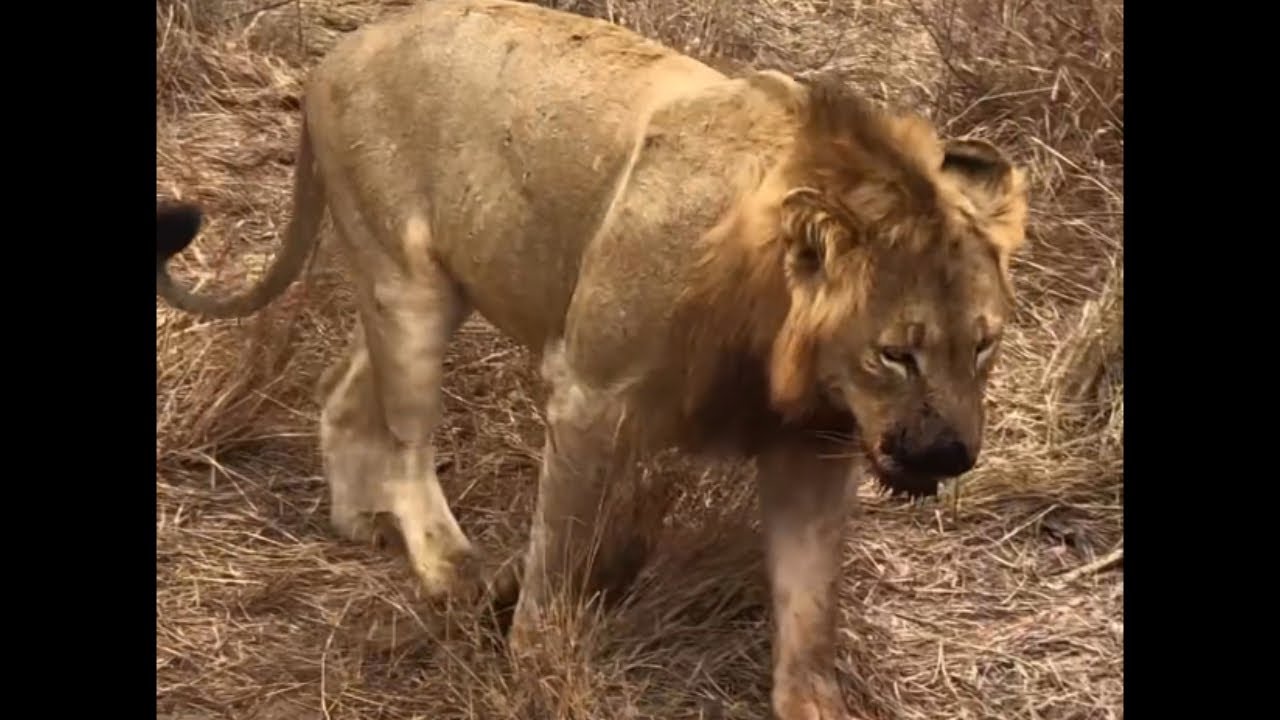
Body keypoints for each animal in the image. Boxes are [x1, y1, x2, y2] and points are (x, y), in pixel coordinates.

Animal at [154, 1, 1029, 718]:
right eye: (896, 354)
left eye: (984, 343)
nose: (950, 455)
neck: (776, 341)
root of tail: (336, 54)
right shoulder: (588, 397)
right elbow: (562, 553)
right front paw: (536, 666)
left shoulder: (813, 443)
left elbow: (810, 605)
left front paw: (815, 705)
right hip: (406, 290)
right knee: (407, 437)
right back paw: (449, 570)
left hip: (431, 288)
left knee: (342, 390)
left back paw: (357, 523)